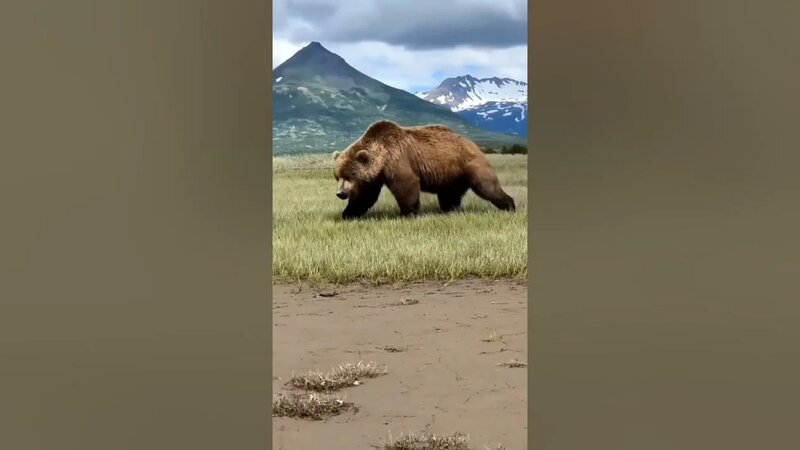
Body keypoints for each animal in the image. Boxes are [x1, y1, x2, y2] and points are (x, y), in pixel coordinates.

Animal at [332, 120, 516, 220]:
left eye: (350, 174)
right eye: (337, 176)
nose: (341, 193)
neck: (383, 156)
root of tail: (472, 143)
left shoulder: (398, 159)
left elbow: (407, 186)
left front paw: (409, 214)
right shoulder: (374, 176)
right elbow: (365, 196)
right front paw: (348, 214)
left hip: (469, 164)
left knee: (487, 186)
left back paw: (509, 206)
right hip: (450, 174)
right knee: (449, 195)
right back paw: (449, 211)